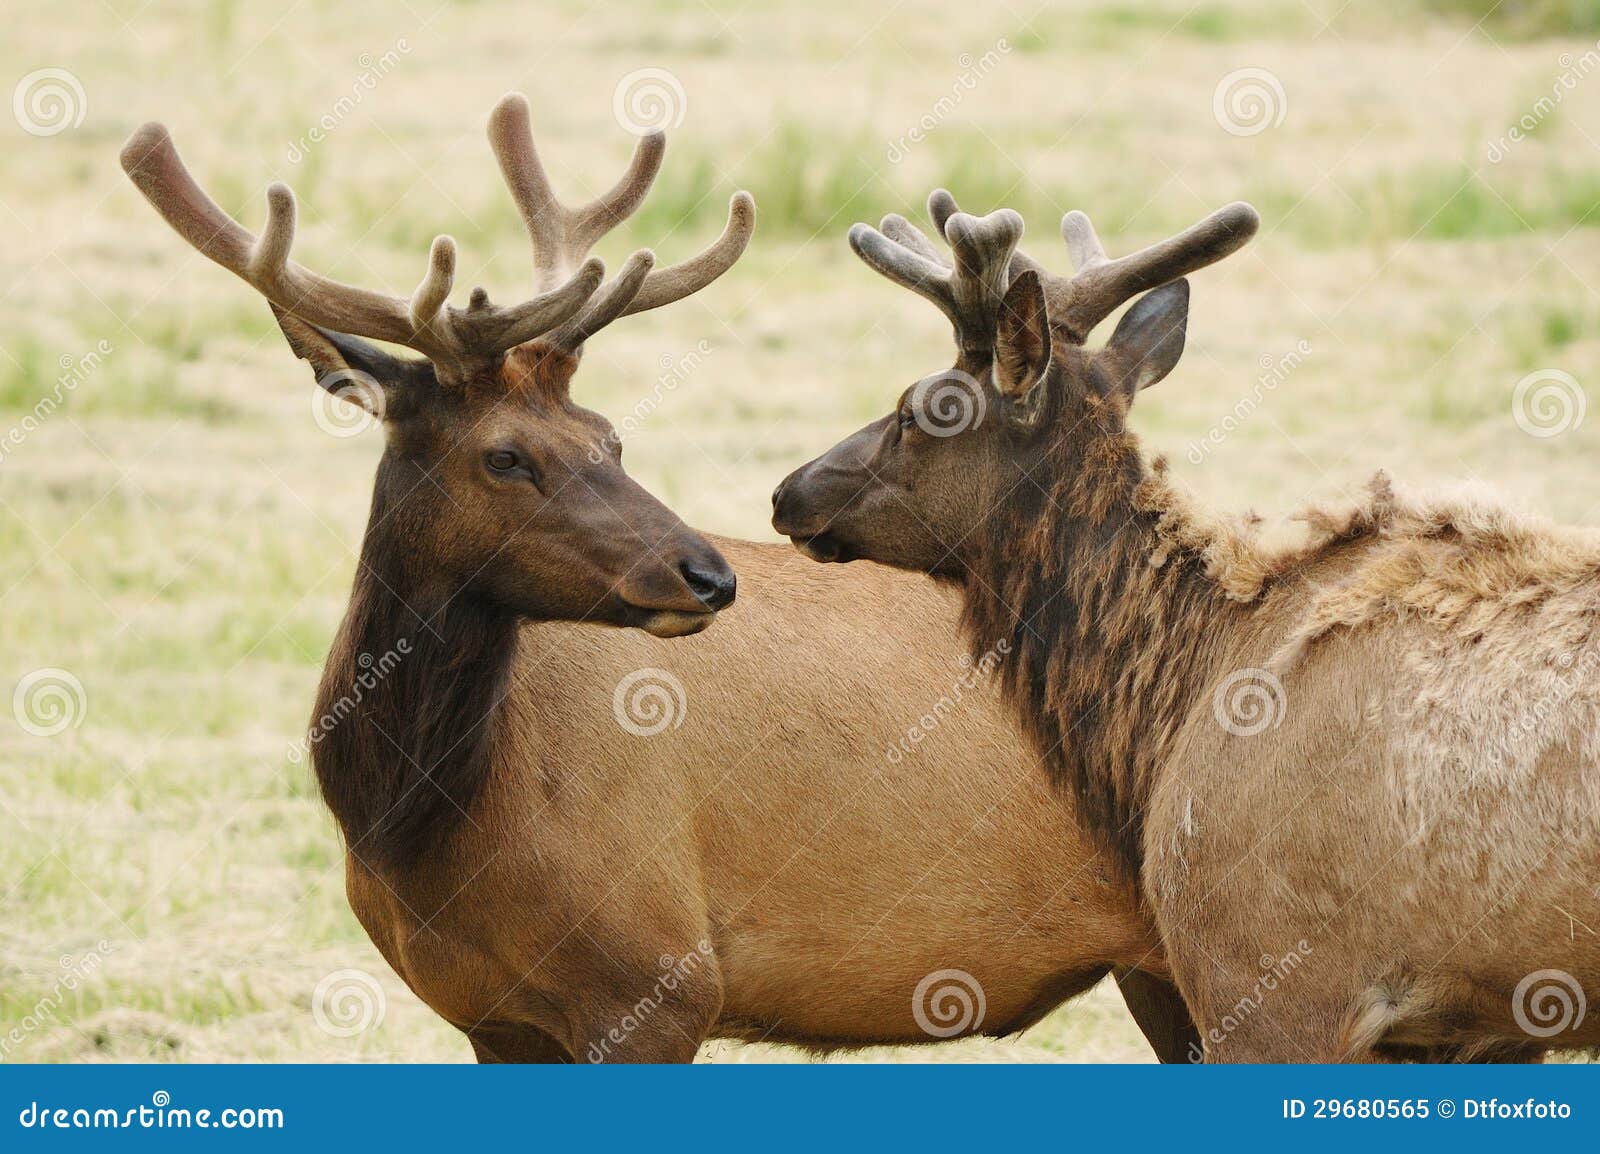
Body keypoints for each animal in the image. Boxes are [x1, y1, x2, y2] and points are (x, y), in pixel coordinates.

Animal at [120, 96, 1198, 1063]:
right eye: (506, 455)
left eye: (609, 437)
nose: (708, 573)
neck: (415, 826)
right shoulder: (494, 1018)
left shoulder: (656, 979)